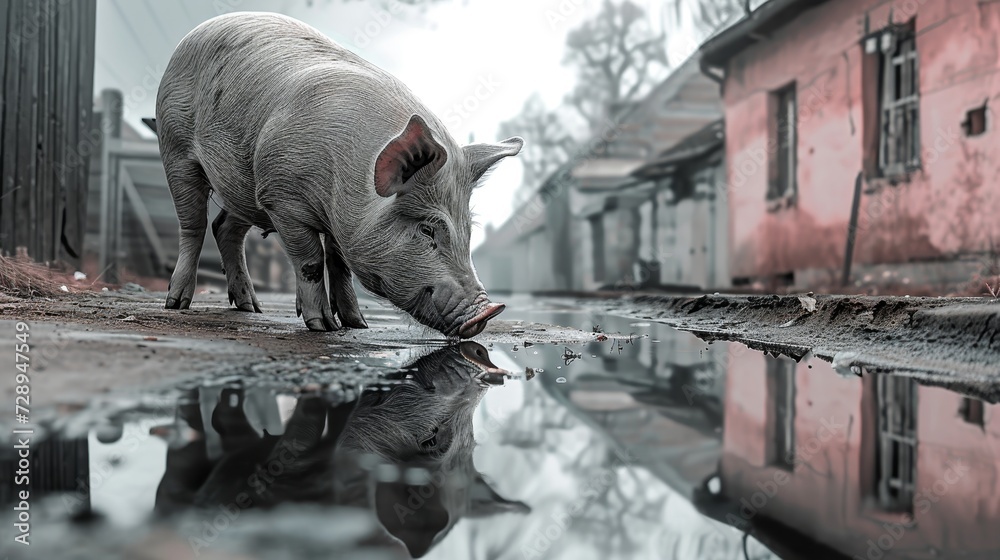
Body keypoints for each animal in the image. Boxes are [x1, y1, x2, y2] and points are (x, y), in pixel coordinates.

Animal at [155, 12, 521, 337]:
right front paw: (323, 326)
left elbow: (340, 264)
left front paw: (357, 324)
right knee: (194, 225)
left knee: (225, 229)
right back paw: (177, 303)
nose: (488, 312)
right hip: (175, 149)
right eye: (427, 229)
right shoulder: (281, 199)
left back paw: (251, 308)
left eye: (468, 231)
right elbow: (311, 261)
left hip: (243, 186)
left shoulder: (327, 216)